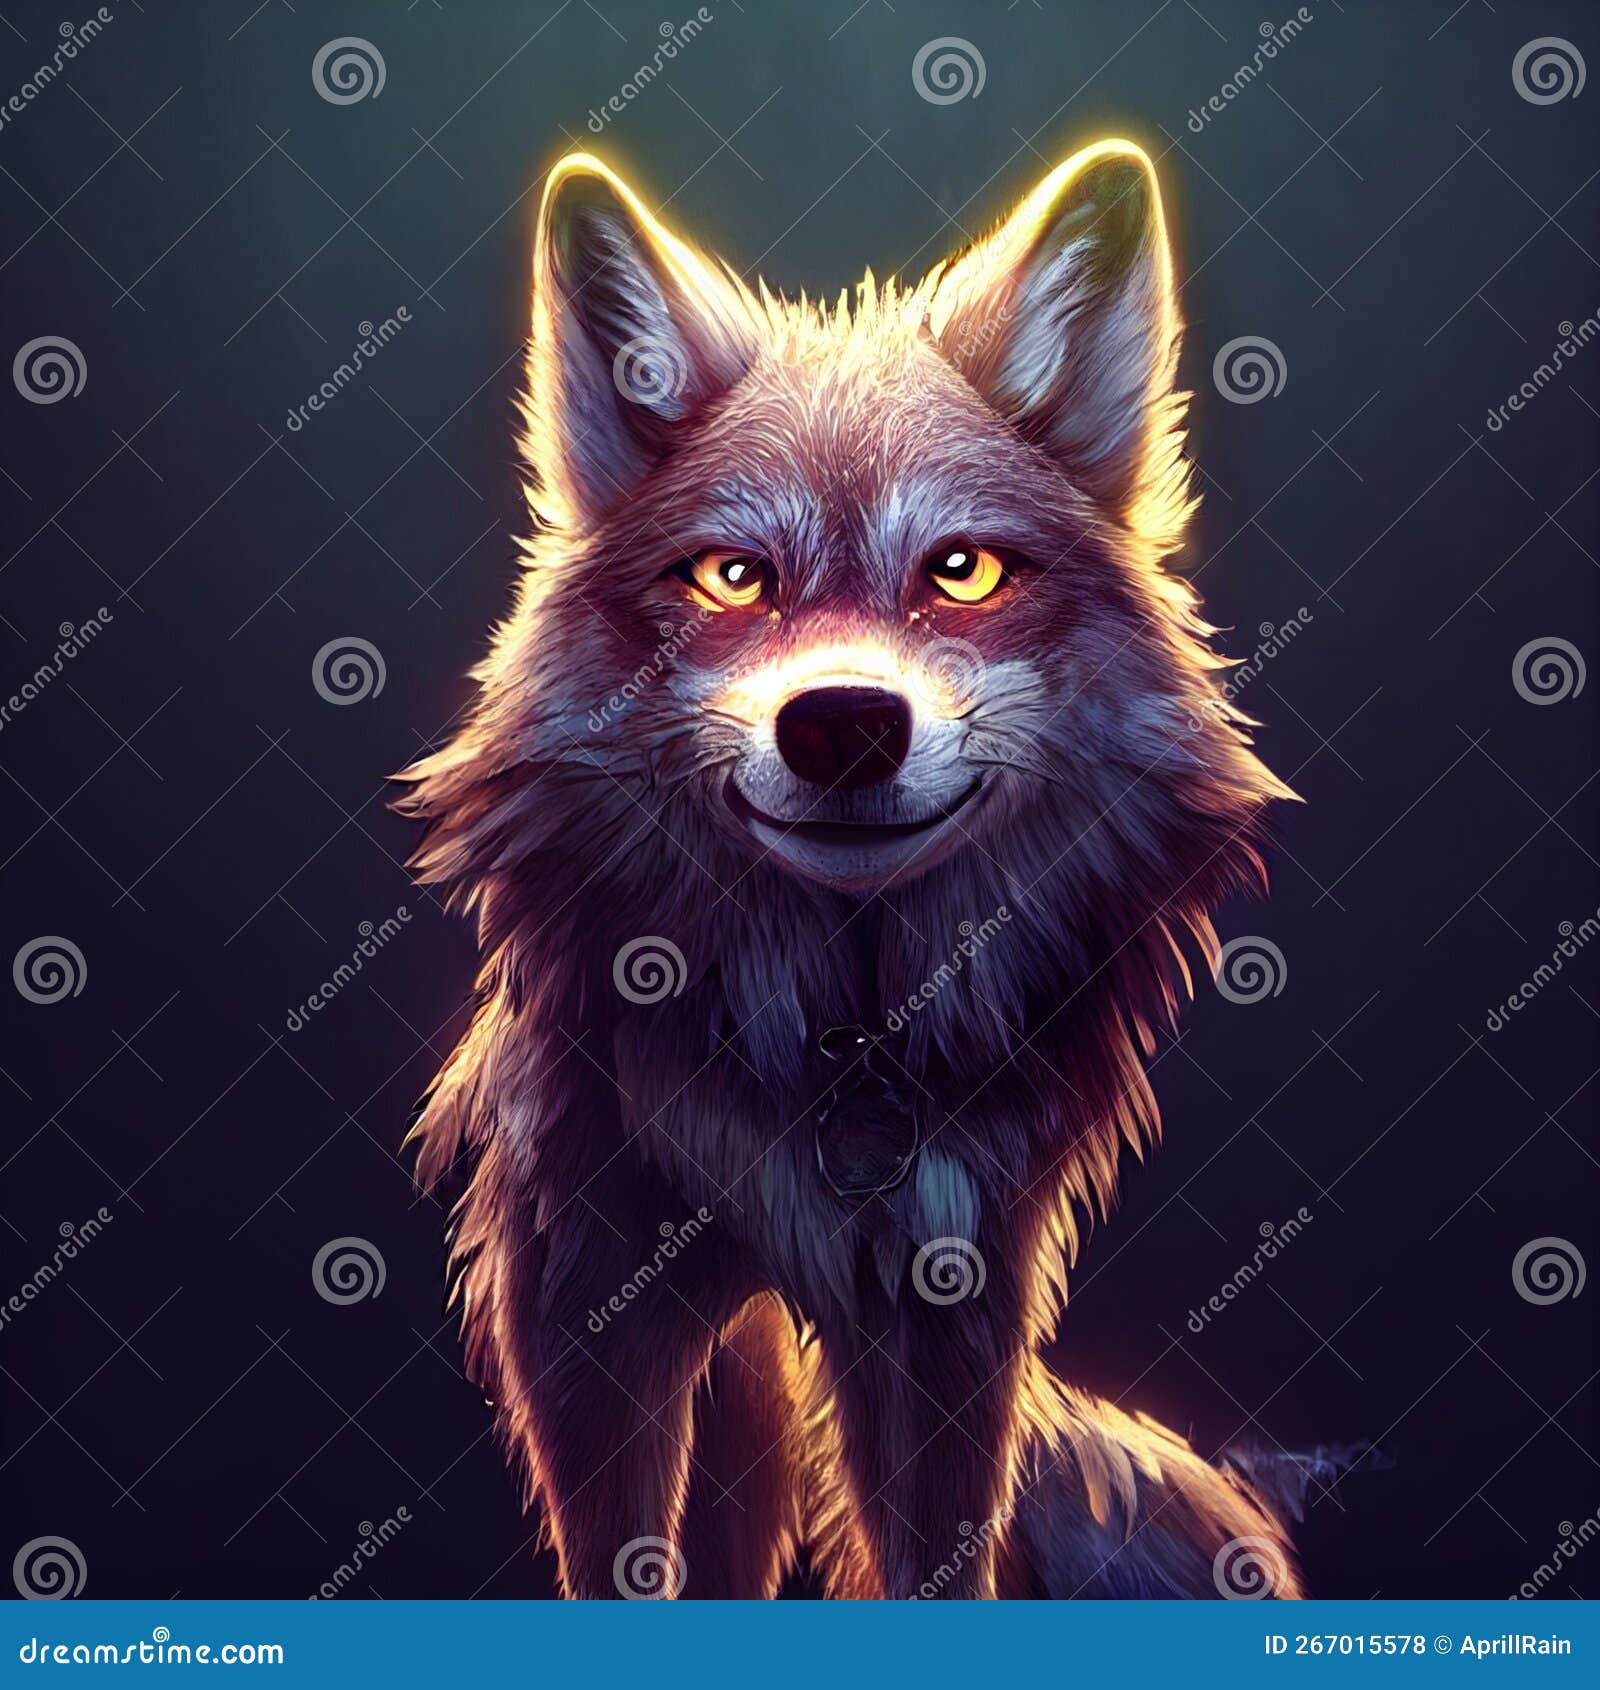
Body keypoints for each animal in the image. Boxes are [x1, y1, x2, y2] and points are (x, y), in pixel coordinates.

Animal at [398, 139, 1306, 1599]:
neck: (837, 1049)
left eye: (964, 571)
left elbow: (940, 1555)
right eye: (732, 578)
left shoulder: (955, 1298)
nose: (839, 725)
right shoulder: (584, 1289)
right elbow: (623, 1559)